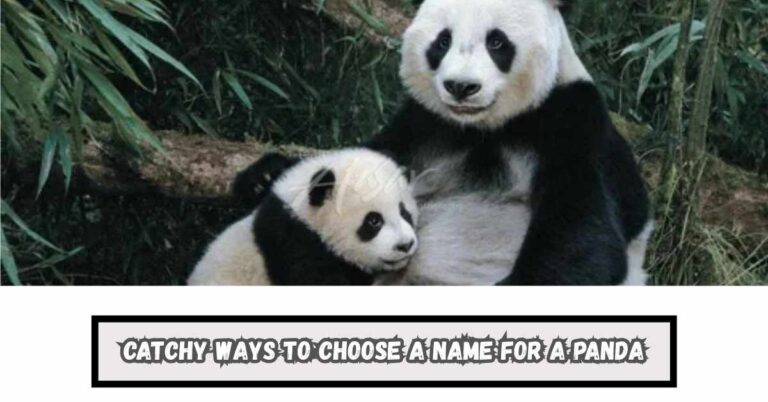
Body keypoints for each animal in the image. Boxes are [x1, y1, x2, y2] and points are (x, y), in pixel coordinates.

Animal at [368, 0, 653, 285]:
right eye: (443, 40)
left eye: (496, 42)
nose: (461, 86)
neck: (483, 127)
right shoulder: (421, 126)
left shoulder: (575, 124)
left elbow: (584, 239)